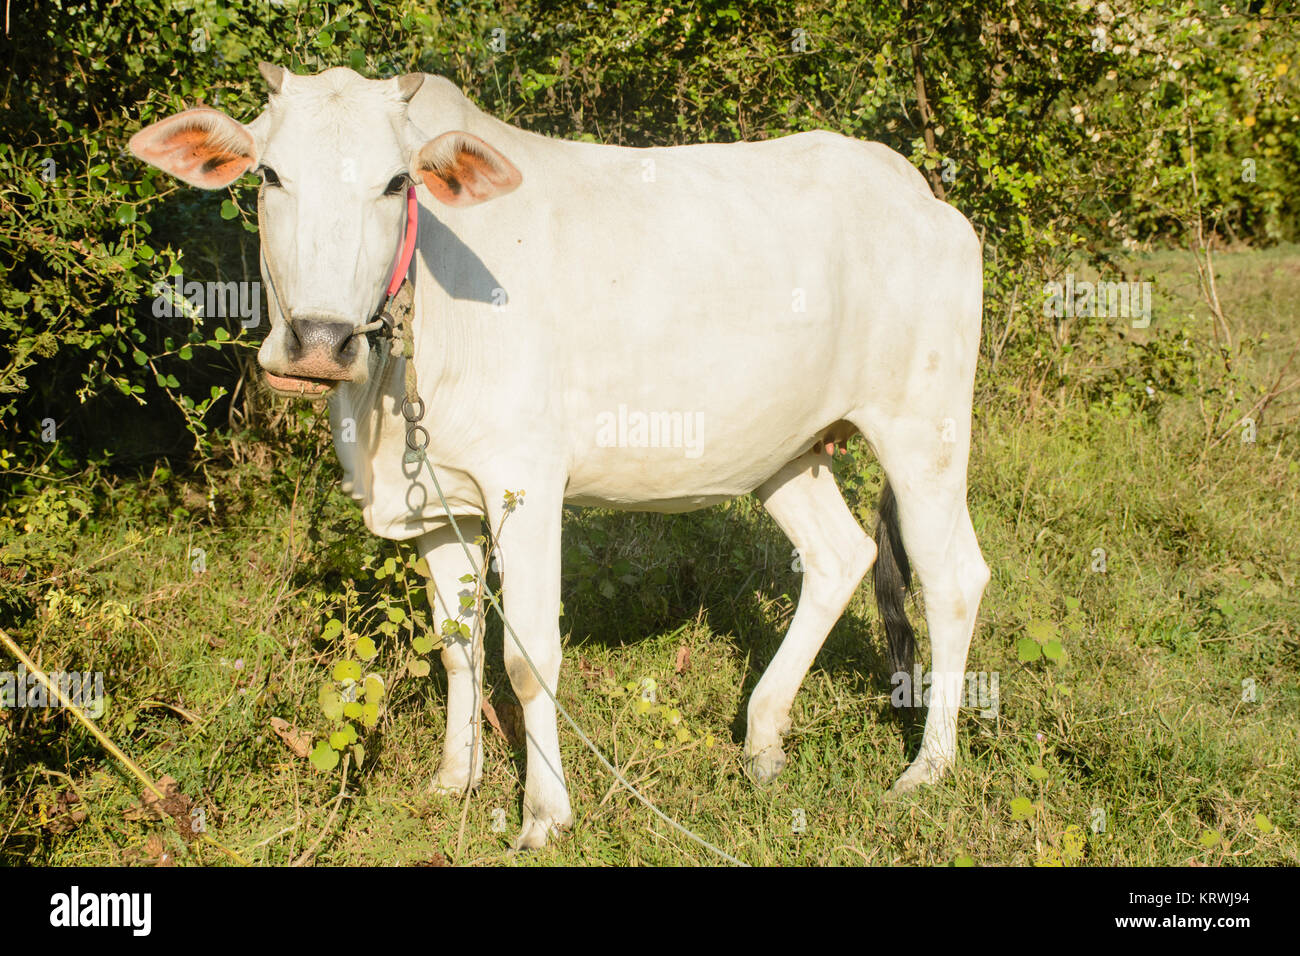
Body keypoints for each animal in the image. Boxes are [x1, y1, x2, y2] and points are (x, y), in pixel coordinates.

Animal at [129, 63, 990, 851]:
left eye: (396, 182)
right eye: (270, 175)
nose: (317, 342)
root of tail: (914, 189)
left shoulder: (527, 481)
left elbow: (527, 655)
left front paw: (544, 813)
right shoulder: (436, 503)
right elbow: (458, 647)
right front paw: (455, 780)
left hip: (925, 427)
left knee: (953, 578)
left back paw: (928, 767)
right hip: (787, 449)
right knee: (839, 556)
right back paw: (763, 740)